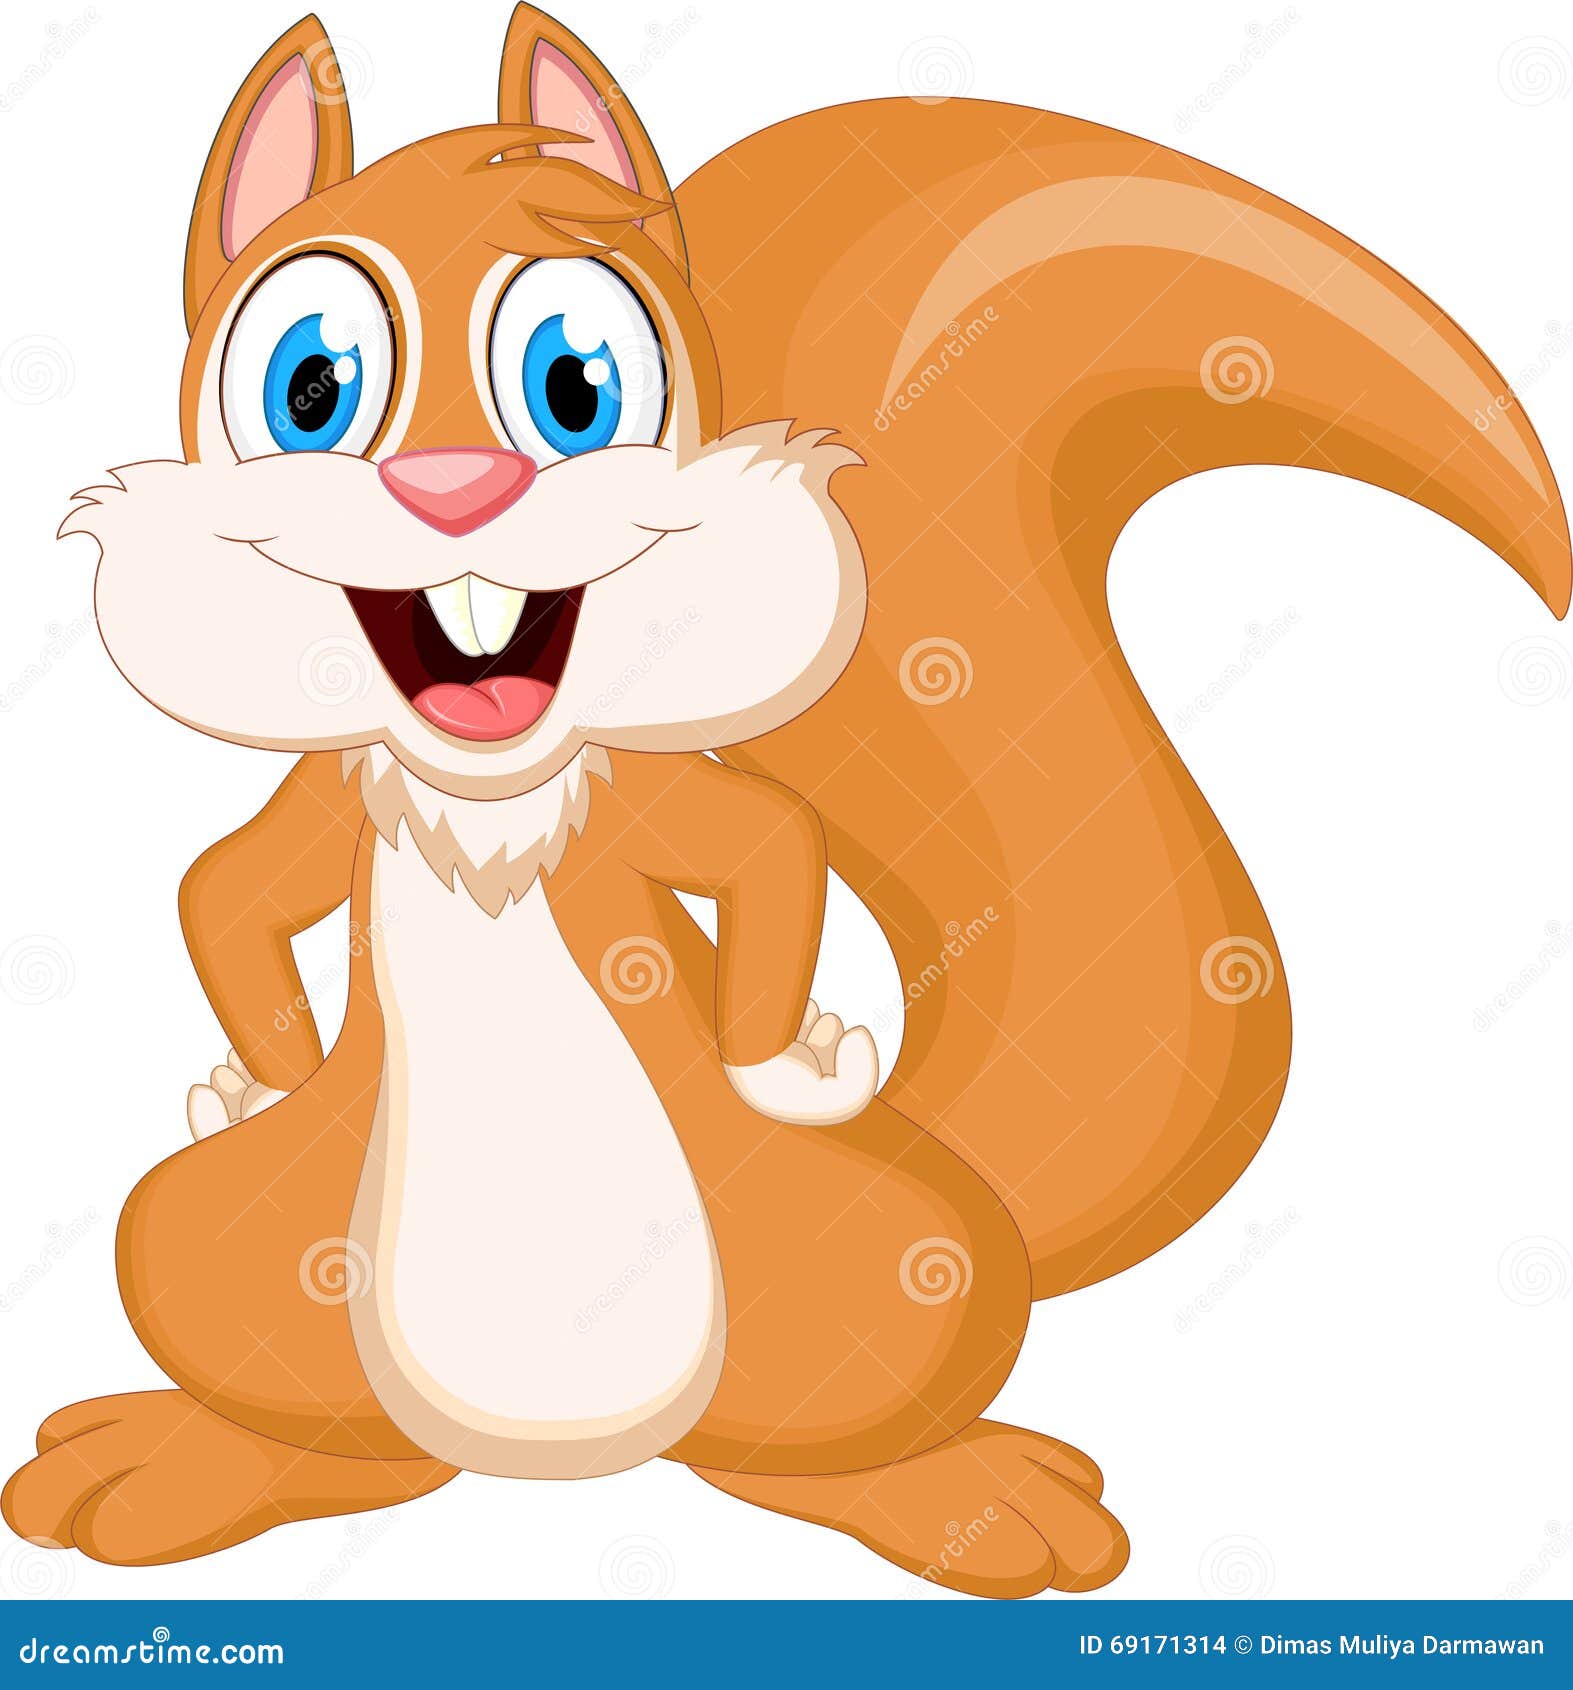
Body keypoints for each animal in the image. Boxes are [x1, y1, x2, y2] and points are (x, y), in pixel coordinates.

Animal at [4, 6, 1566, 1598]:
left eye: (577, 384)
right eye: (307, 386)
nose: (455, 488)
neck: (493, 790)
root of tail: (572, 1458)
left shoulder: (643, 812)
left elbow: (765, 850)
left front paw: (790, 1068)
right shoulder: (332, 807)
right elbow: (225, 890)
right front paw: (253, 1084)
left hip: (885, 1272)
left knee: (813, 1444)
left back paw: (961, 1494)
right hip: (238, 1257)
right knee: (332, 1423)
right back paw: (186, 1455)